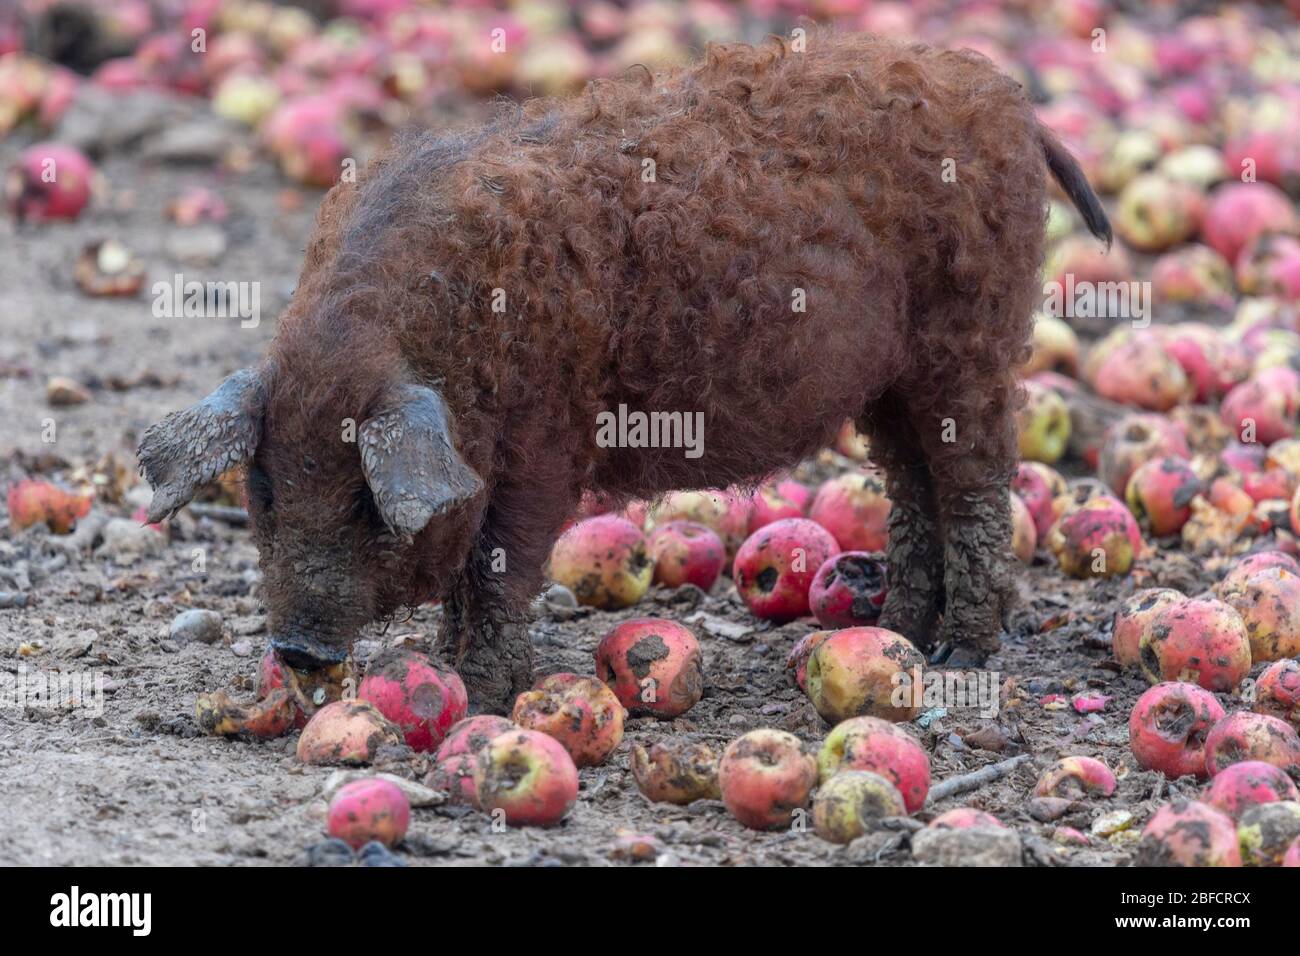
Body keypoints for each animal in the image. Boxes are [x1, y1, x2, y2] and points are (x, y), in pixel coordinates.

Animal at [138, 31, 1110, 714]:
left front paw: (481, 694)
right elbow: (467, 569)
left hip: (973, 344)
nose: (301, 652)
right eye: (263, 490)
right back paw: (900, 631)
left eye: (365, 503)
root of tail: (1013, 106)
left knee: (977, 485)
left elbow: (499, 563)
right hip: (892, 386)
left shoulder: (546, 439)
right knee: (913, 488)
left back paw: (958, 654)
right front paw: (447, 665)